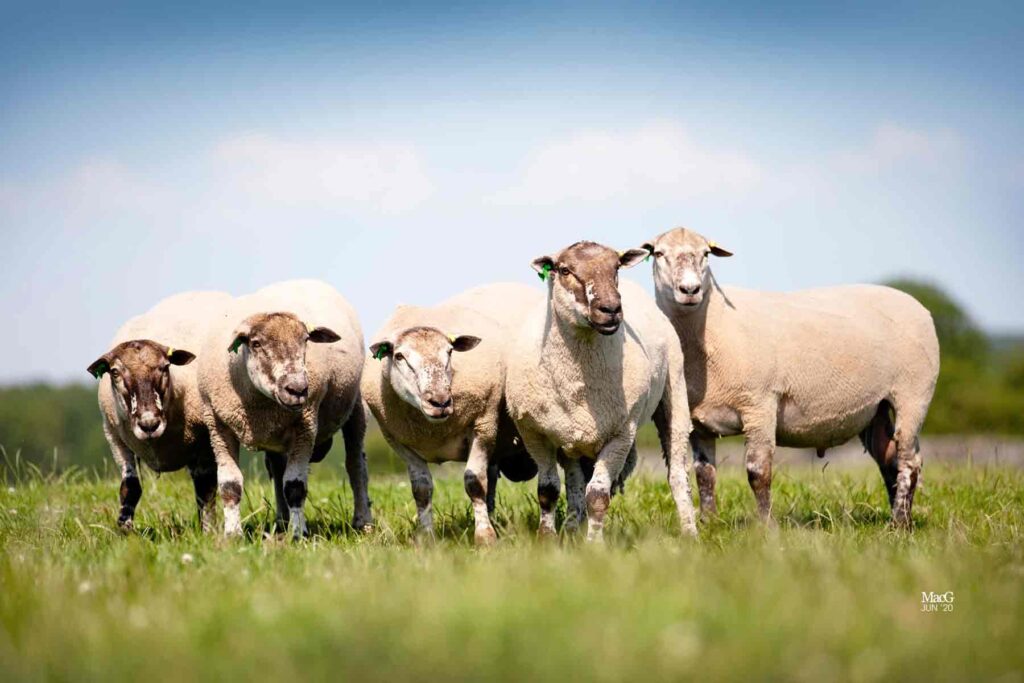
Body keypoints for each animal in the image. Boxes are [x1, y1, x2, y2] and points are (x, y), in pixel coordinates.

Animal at [87, 290, 233, 531]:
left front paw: (208, 531)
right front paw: (124, 530)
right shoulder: (116, 440)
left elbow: (206, 490)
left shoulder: (205, 441)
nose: (149, 424)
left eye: (165, 367)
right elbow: (130, 488)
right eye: (115, 372)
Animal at [196, 279, 372, 538]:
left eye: (306, 340)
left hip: (355, 409)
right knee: (277, 470)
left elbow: (295, 486)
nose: (297, 389)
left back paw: (363, 522)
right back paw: (281, 520)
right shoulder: (218, 425)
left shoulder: (305, 426)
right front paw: (232, 535)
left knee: (356, 465)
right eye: (256, 343)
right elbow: (230, 485)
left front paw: (299, 534)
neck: (259, 405)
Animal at [362, 283, 541, 545]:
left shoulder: (483, 424)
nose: (440, 402)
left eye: (449, 352)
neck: (434, 428)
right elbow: (421, 489)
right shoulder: (398, 441)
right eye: (399, 356)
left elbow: (474, 482)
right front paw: (426, 537)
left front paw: (484, 536)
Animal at [505, 241, 698, 541]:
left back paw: (690, 533)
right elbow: (548, 491)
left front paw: (594, 546)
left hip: (674, 392)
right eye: (564, 269)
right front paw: (546, 540)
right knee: (574, 485)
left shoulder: (621, 433)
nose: (611, 308)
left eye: (616, 267)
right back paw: (571, 530)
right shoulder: (533, 432)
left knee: (678, 475)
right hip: (572, 437)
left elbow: (597, 496)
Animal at [640, 227, 940, 527]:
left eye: (706, 254)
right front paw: (710, 523)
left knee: (909, 461)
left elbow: (758, 472)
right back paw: (899, 521)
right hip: (876, 408)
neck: (711, 327)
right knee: (889, 459)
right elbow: (704, 473)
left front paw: (767, 527)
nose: (690, 290)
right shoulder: (699, 421)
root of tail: (918, 305)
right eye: (659, 253)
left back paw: (899, 524)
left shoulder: (760, 404)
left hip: (913, 394)